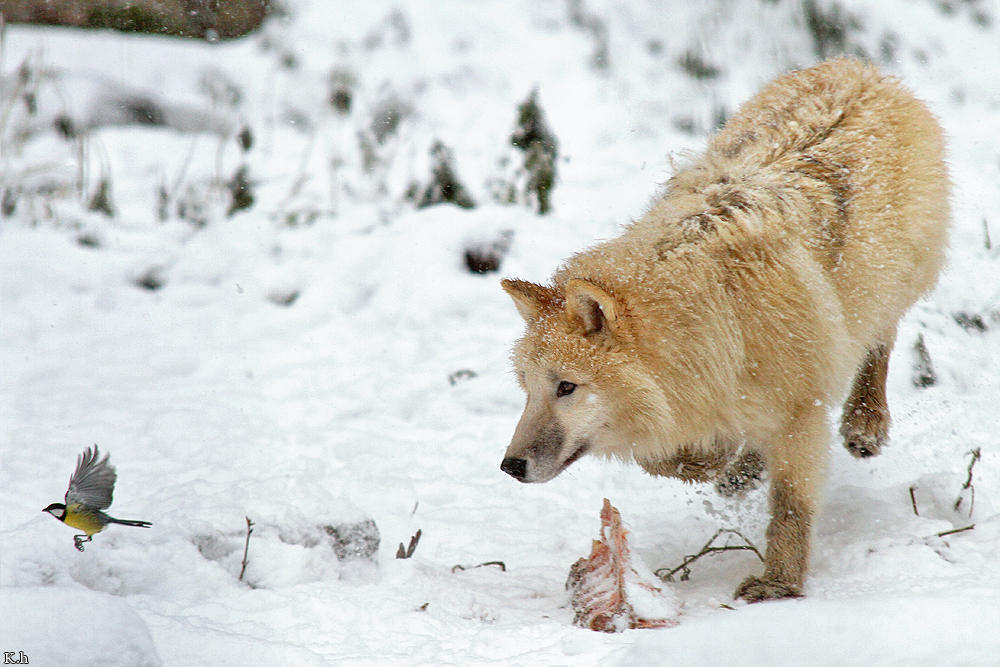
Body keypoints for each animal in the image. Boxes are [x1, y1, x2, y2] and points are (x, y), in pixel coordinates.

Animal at [499, 58, 948, 602]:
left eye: (566, 387)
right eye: (527, 389)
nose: (510, 466)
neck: (713, 316)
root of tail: (861, 69)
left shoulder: (801, 409)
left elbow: (790, 505)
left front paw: (779, 584)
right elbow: (667, 458)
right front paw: (720, 459)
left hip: (891, 287)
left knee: (882, 338)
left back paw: (864, 422)